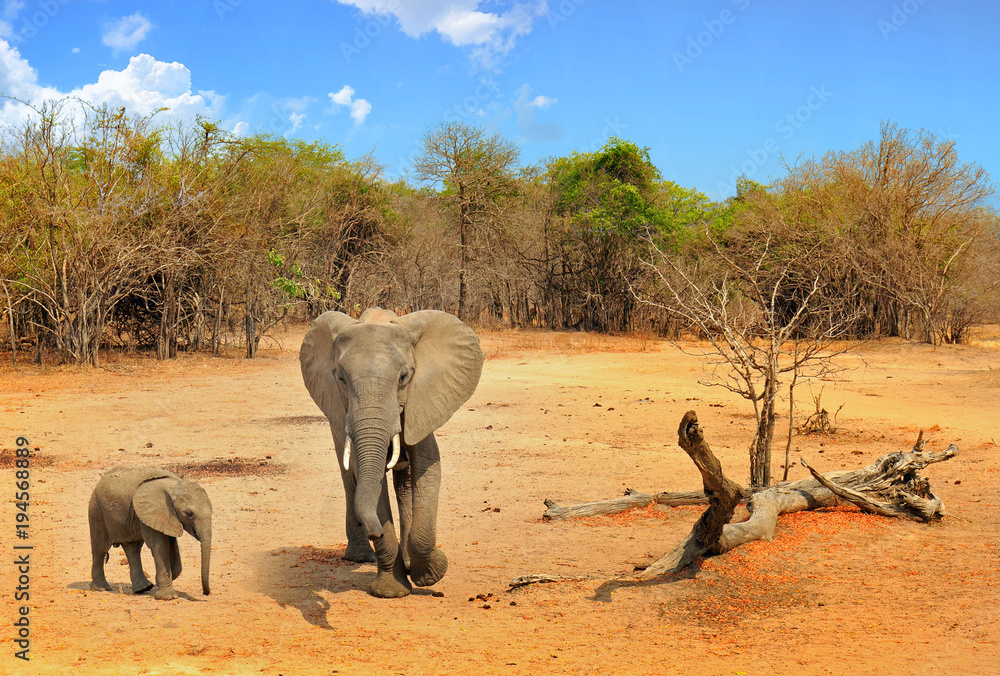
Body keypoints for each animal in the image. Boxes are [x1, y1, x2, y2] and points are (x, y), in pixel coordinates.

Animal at [88, 466, 212, 601]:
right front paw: (168, 597)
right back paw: (101, 588)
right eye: (189, 514)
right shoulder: (153, 511)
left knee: (133, 548)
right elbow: (160, 547)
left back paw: (143, 588)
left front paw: (163, 580)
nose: (205, 593)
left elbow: (172, 546)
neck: (174, 484)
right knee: (100, 549)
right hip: (96, 510)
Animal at [299, 307, 483, 598]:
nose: (374, 532)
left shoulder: (423, 400)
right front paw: (391, 591)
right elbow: (370, 482)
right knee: (349, 478)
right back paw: (361, 557)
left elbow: (428, 468)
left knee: (404, 482)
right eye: (340, 378)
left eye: (404, 377)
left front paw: (430, 574)